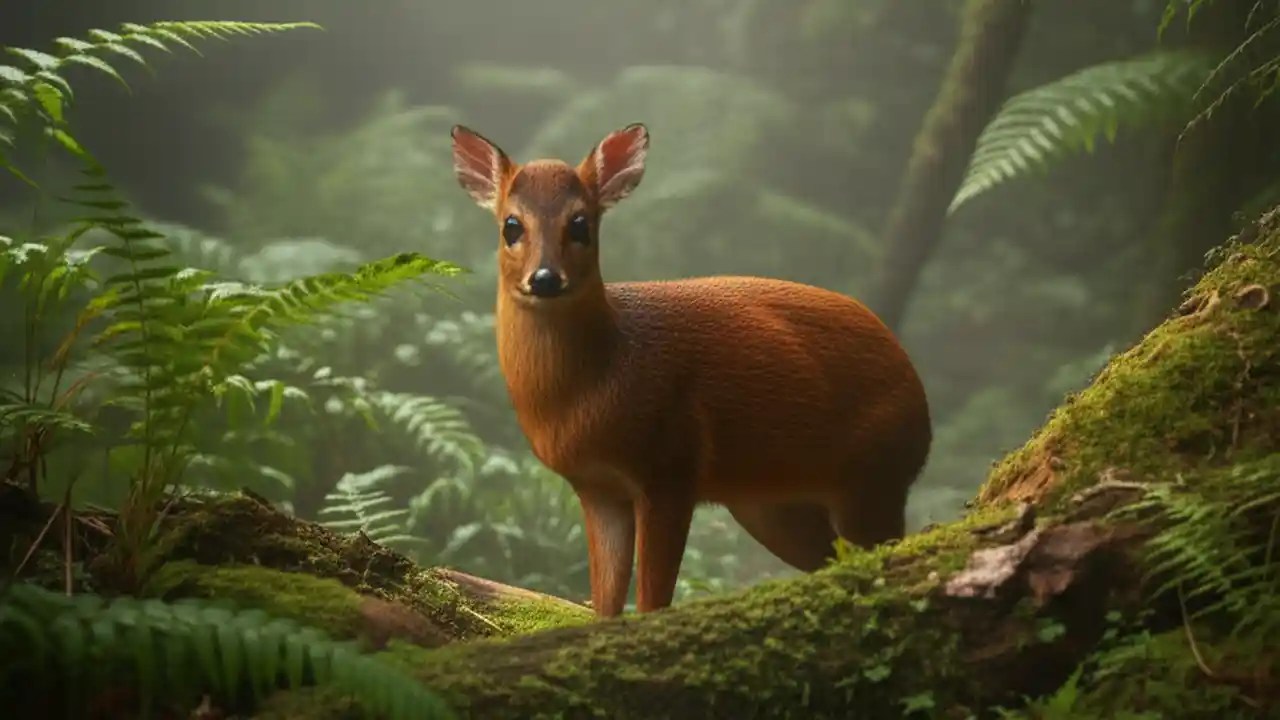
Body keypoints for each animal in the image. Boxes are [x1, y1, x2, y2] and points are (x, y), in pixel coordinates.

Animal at [449, 122, 932, 617]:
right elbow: (606, 597)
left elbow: (653, 595)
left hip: (874, 472)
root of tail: (918, 390)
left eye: (581, 223)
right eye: (511, 225)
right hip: (772, 505)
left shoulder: (672, 463)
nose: (545, 278)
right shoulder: (597, 489)